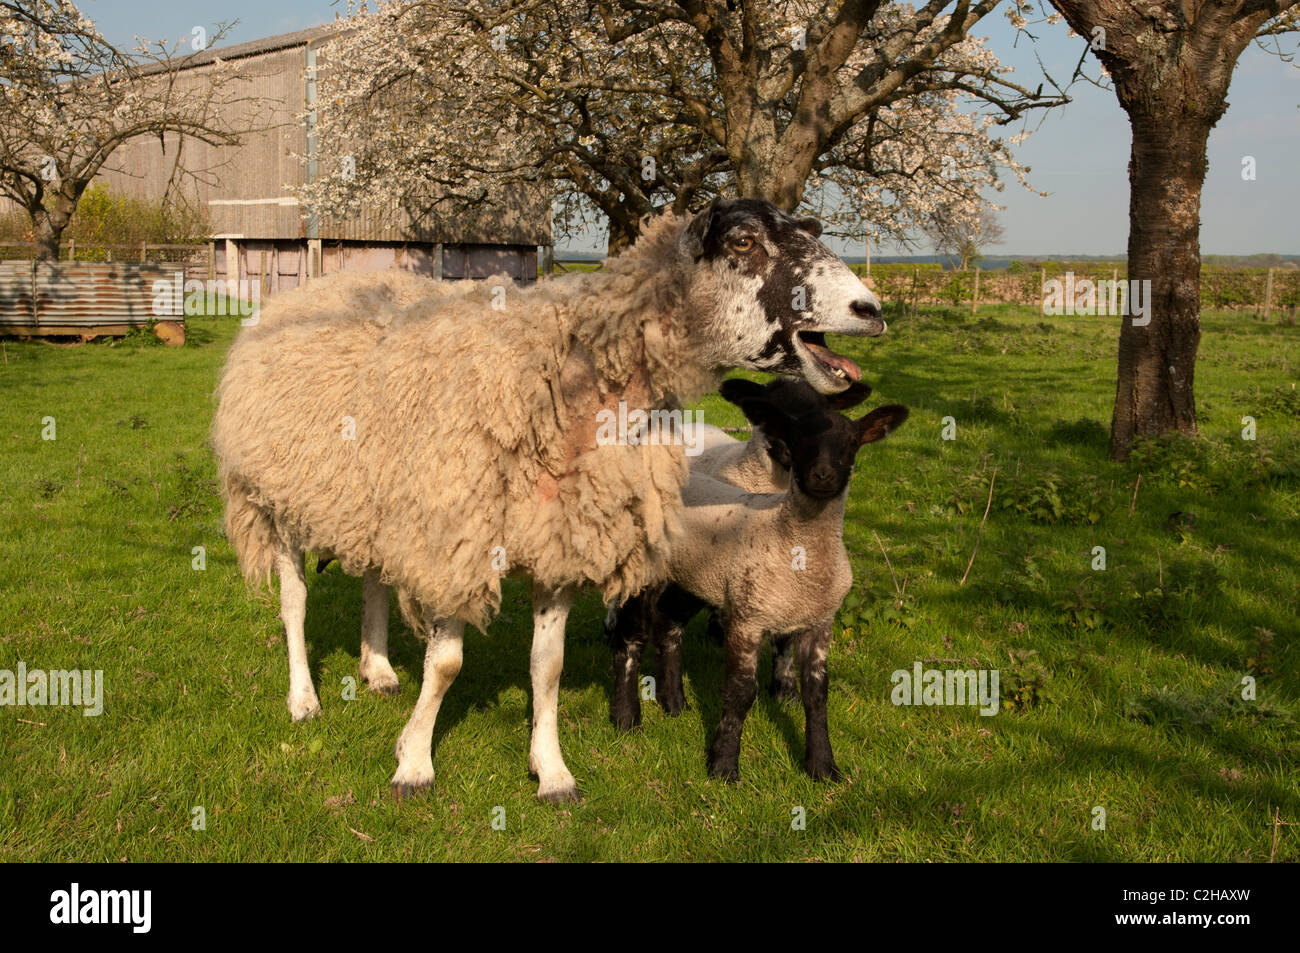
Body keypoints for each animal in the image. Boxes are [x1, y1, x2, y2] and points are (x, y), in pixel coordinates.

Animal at [607, 393, 909, 781]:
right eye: (797, 438)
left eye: (853, 443)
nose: (822, 475)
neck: (792, 543)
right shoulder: (747, 617)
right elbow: (740, 692)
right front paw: (723, 765)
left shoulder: (819, 619)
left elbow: (817, 692)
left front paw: (823, 767)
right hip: (644, 571)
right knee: (630, 639)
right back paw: (627, 718)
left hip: (695, 576)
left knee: (668, 623)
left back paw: (674, 703)